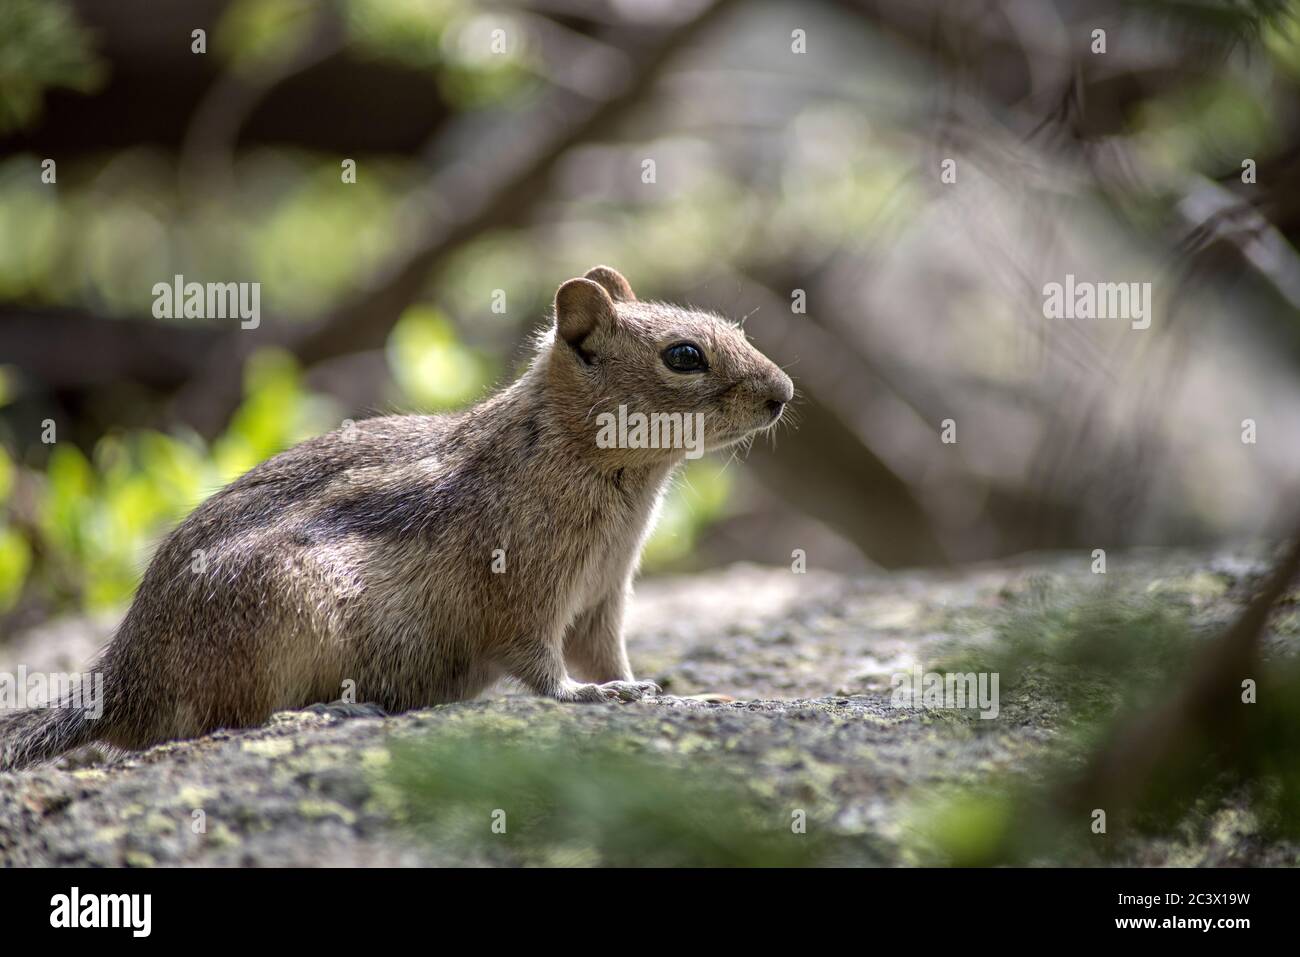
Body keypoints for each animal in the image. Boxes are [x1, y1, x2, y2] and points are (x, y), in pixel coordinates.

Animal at [0, 267, 793, 770]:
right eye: (684, 356)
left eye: (730, 326)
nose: (784, 392)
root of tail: (119, 686)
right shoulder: (523, 587)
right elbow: (539, 664)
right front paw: (584, 695)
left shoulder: (603, 595)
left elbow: (607, 651)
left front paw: (652, 688)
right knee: (216, 721)